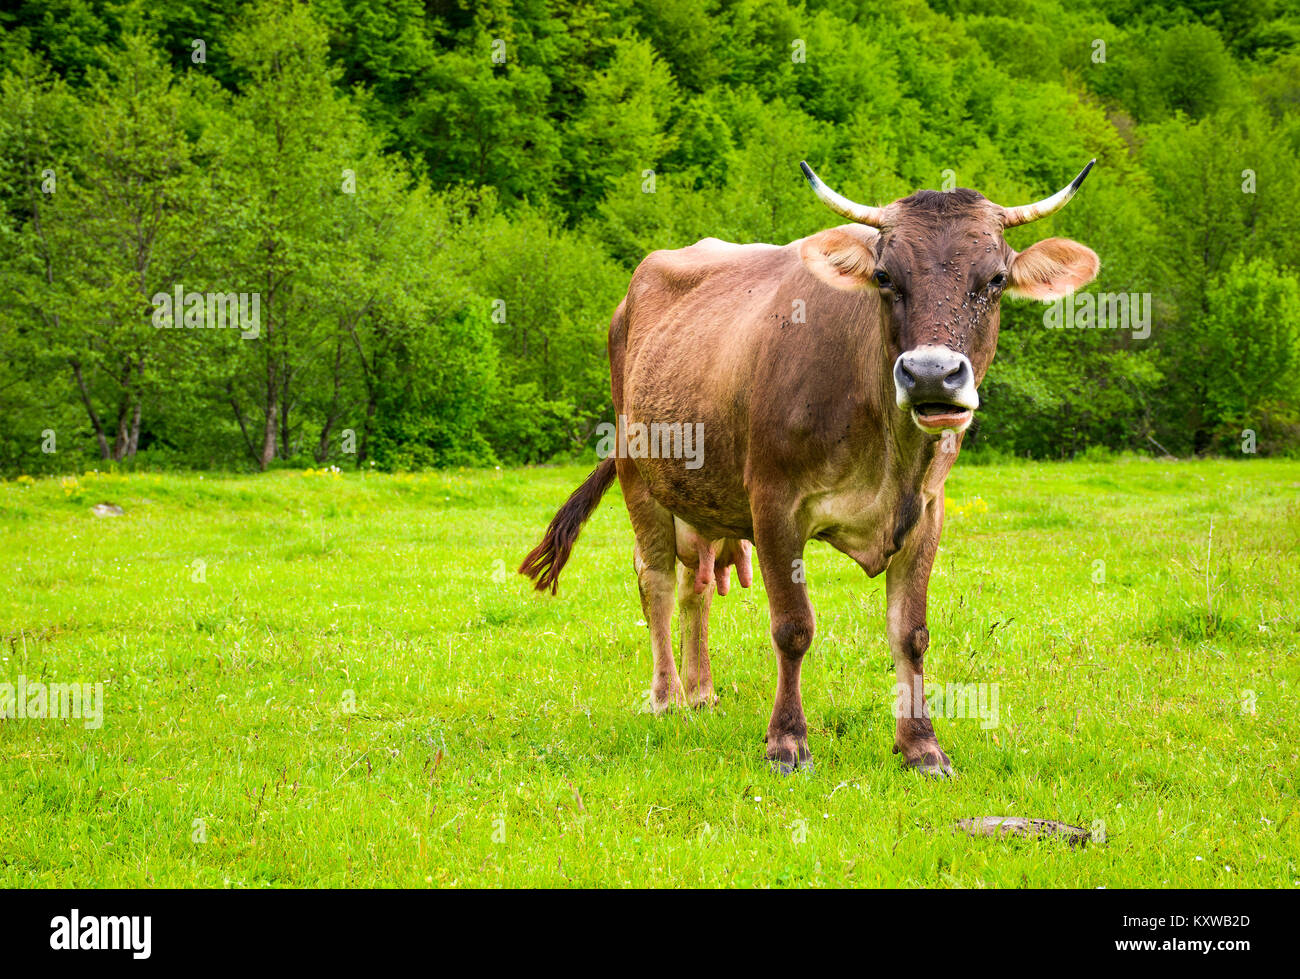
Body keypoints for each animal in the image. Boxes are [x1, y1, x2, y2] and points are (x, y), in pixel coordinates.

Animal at [521, 161, 1100, 775]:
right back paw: (667, 695)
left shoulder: (926, 512)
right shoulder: (775, 504)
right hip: (639, 473)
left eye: (994, 280)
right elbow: (793, 627)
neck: (888, 453)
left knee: (695, 585)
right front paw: (787, 741)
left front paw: (922, 746)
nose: (930, 375)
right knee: (654, 579)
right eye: (885, 276)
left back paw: (702, 692)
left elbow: (911, 633)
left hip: (701, 491)